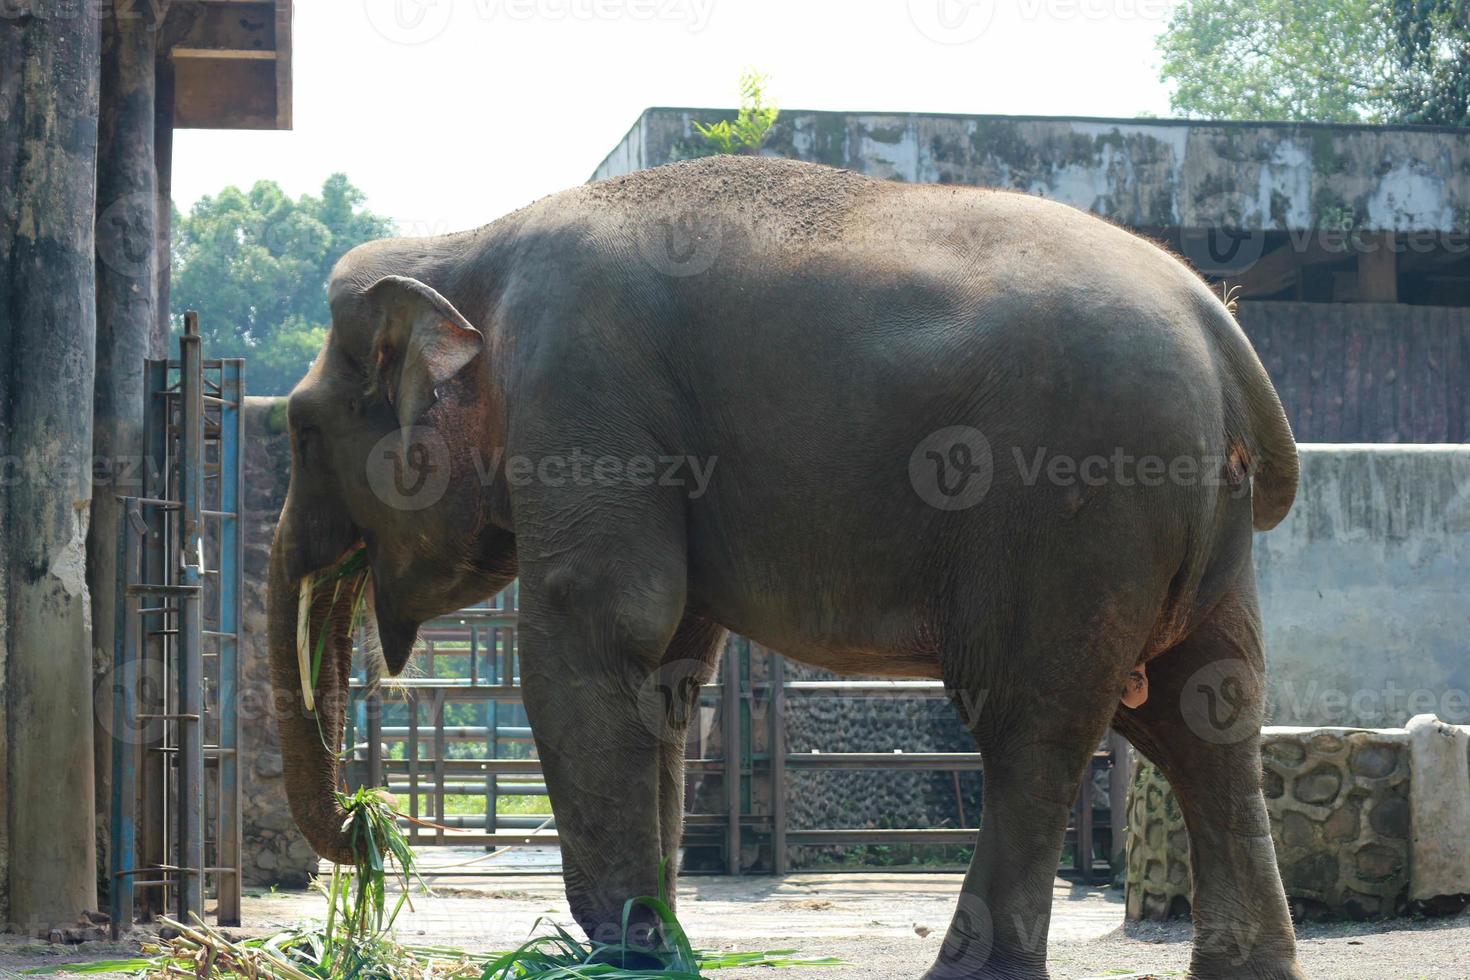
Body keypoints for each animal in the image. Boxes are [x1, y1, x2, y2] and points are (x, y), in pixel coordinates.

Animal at [267, 154, 1304, 979]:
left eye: (301, 431)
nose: (367, 826)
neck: (466, 251)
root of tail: (1226, 336)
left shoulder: (581, 390)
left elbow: (599, 629)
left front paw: (624, 952)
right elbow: (668, 669)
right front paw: (659, 941)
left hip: (1072, 504)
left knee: (1033, 720)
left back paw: (970, 972)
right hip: (1190, 528)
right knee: (1205, 712)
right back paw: (1245, 968)